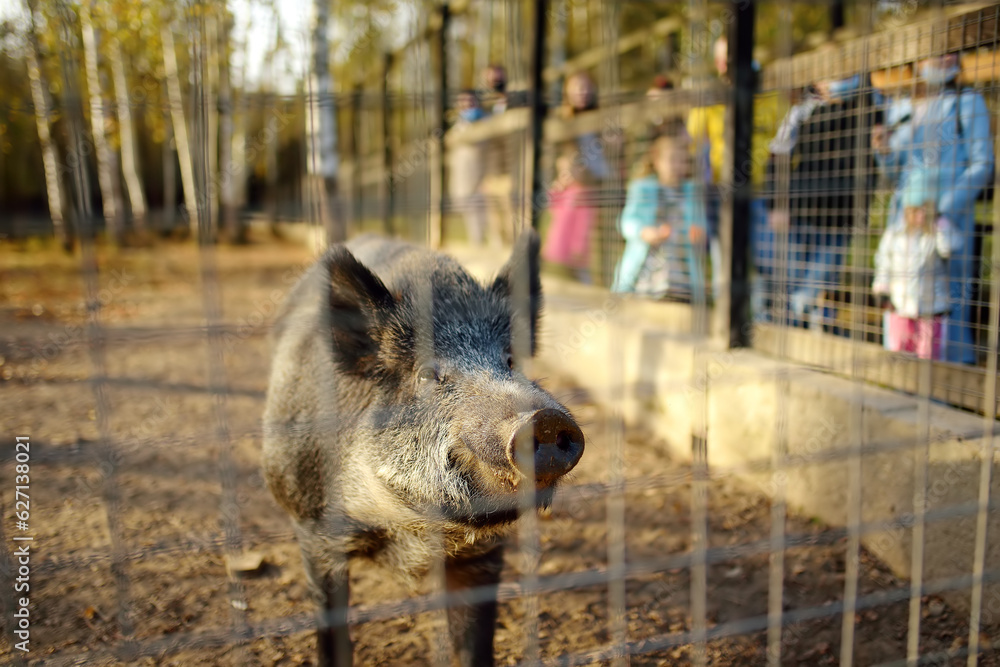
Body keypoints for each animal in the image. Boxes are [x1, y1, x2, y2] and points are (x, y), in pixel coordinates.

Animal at [262, 231, 584, 666]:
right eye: (428, 374)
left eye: (510, 361)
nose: (544, 419)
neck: (411, 528)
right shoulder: (314, 531)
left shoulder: (483, 556)